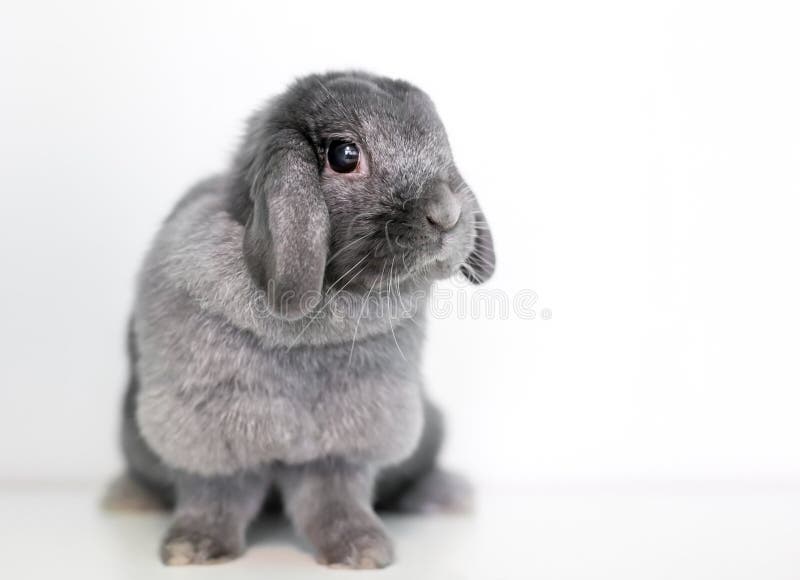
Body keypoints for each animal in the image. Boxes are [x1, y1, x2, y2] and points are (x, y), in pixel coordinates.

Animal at [108, 70, 495, 569]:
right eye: (345, 155)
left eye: (443, 143)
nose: (447, 214)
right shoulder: (210, 432)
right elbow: (215, 495)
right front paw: (193, 548)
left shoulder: (345, 442)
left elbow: (333, 499)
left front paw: (363, 550)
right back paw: (126, 497)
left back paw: (445, 496)